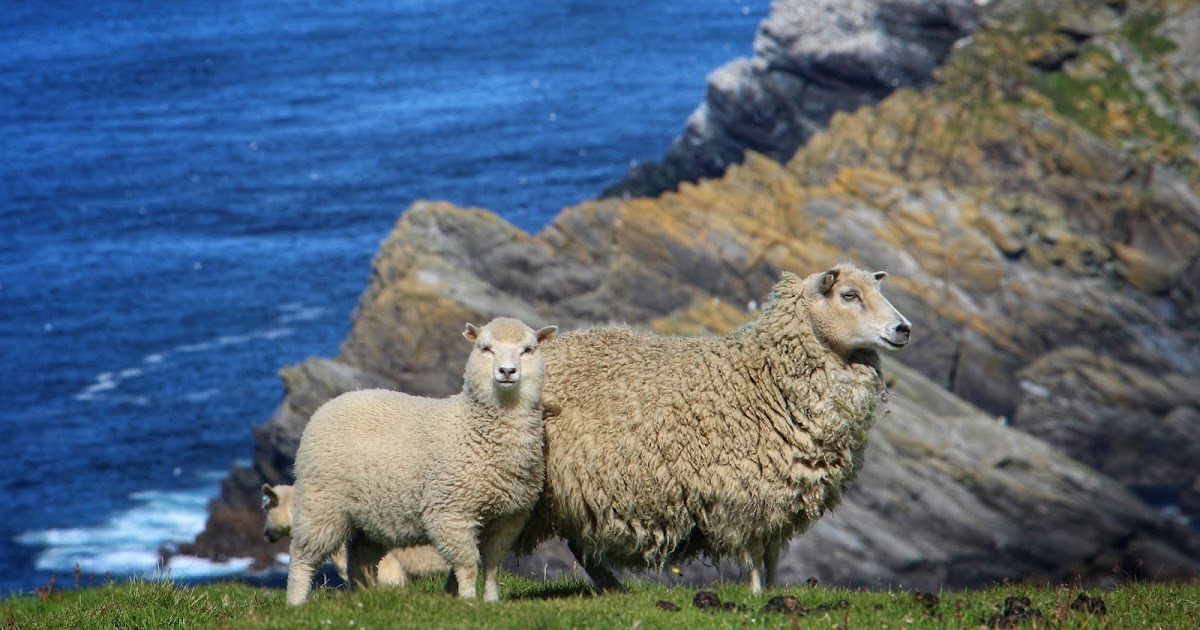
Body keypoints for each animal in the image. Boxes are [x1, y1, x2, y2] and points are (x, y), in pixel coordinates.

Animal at [286, 317, 558, 605]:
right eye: (485, 348)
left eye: (528, 350)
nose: (507, 371)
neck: (474, 427)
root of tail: (333, 402)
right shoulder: (451, 514)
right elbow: (468, 566)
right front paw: (469, 601)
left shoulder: (509, 517)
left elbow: (493, 565)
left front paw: (492, 601)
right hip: (321, 503)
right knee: (302, 557)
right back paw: (296, 603)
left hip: (367, 516)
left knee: (360, 559)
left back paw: (365, 597)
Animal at [518, 263, 911, 594]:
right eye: (849, 294)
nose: (904, 329)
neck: (764, 375)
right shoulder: (744, 492)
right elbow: (754, 554)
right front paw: (756, 596)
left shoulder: (780, 493)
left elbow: (772, 555)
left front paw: (771, 593)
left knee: (580, 543)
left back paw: (613, 589)